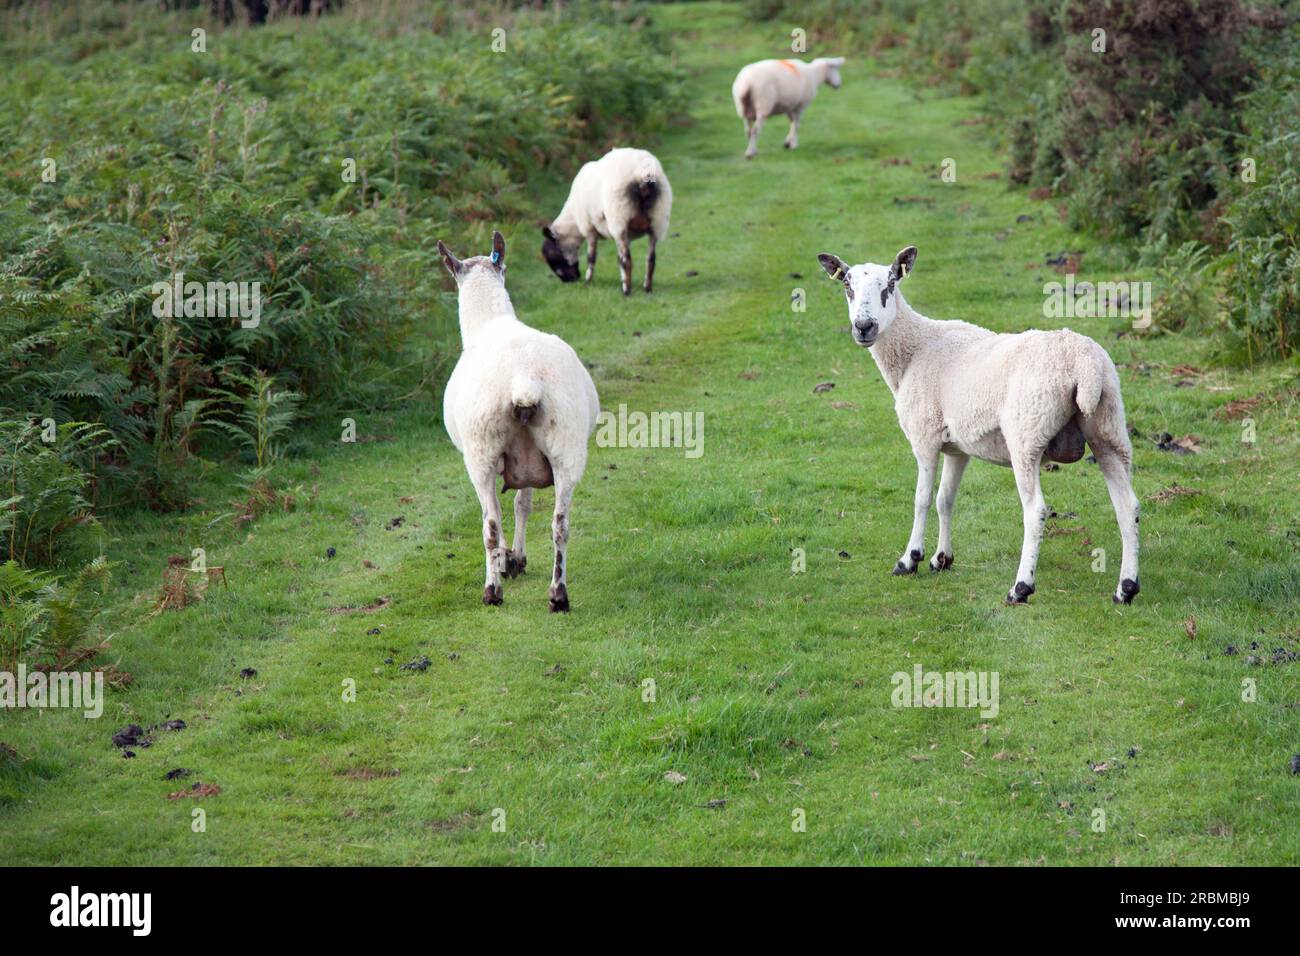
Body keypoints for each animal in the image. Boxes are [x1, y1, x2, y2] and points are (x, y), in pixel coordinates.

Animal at [439, 231, 600, 612]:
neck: (490, 320)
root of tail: (524, 380)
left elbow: (506, 509)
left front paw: (508, 561)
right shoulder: (528, 460)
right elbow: (523, 503)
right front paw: (516, 558)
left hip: (481, 450)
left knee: (489, 524)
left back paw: (492, 591)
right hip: (566, 444)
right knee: (560, 524)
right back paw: (558, 595)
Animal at [542, 147, 673, 296]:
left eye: (551, 255)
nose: (569, 280)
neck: (573, 221)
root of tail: (642, 173)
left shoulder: (589, 229)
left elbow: (591, 257)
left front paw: (588, 282)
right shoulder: (627, 235)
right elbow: (617, 257)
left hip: (619, 218)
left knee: (627, 260)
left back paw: (626, 291)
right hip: (658, 220)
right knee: (650, 259)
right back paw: (647, 289)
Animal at [815, 245, 1141, 606]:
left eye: (889, 285)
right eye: (847, 286)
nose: (864, 326)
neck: (913, 350)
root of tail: (1083, 364)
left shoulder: (925, 436)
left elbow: (922, 499)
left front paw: (909, 559)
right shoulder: (957, 448)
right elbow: (945, 499)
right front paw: (941, 559)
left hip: (1027, 436)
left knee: (1036, 511)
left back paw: (1021, 587)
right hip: (1109, 428)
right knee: (1128, 506)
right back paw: (1126, 588)